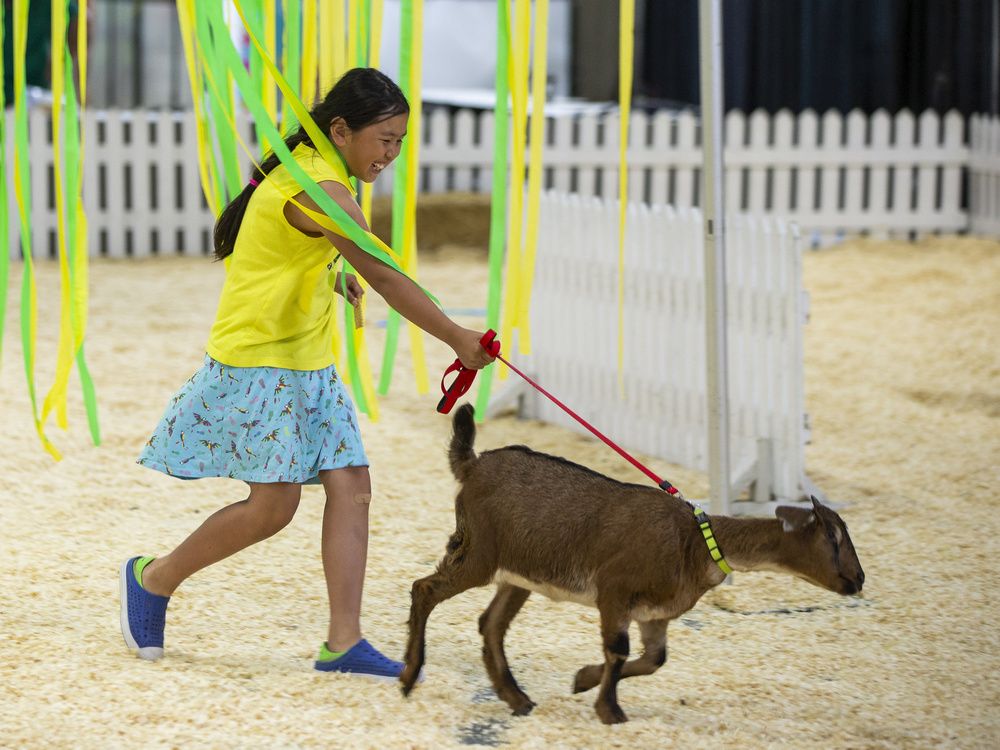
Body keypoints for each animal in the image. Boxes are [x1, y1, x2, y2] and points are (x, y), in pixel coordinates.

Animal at [400, 404, 864, 724]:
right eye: (834, 538)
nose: (859, 579)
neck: (695, 542)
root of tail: (472, 464)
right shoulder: (614, 590)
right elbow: (618, 650)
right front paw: (609, 710)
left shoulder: (653, 613)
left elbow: (653, 659)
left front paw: (582, 679)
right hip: (478, 550)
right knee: (425, 588)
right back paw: (408, 676)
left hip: (517, 572)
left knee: (491, 624)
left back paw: (517, 698)